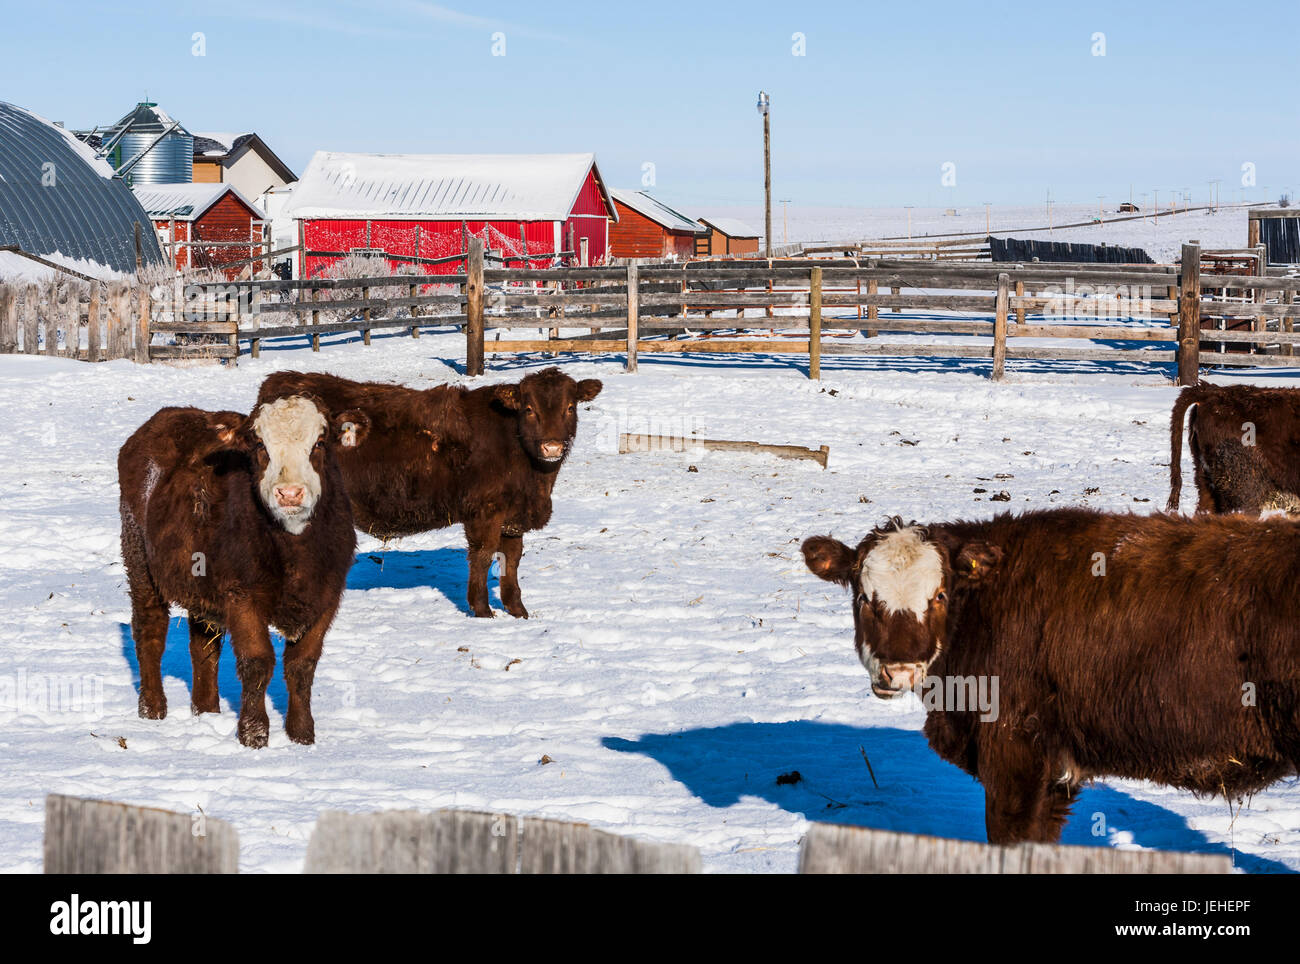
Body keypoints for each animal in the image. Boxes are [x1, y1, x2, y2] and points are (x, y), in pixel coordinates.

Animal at [118, 396, 369, 747]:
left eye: (319, 443)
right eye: (261, 446)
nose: (289, 493)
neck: (297, 552)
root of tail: (169, 414)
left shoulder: (327, 595)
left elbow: (302, 665)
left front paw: (302, 735)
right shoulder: (242, 595)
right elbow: (257, 661)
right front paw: (254, 735)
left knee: (203, 645)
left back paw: (207, 711)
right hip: (139, 557)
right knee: (149, 629)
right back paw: (153, 709)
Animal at [256, 367, 602, 619]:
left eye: (570, 407)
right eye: (529, 409)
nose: (552, 446)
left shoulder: (513, 516)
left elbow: (511, 559)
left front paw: (517, 610)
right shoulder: (484, 513)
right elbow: (482, 557)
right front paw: (482, 610)